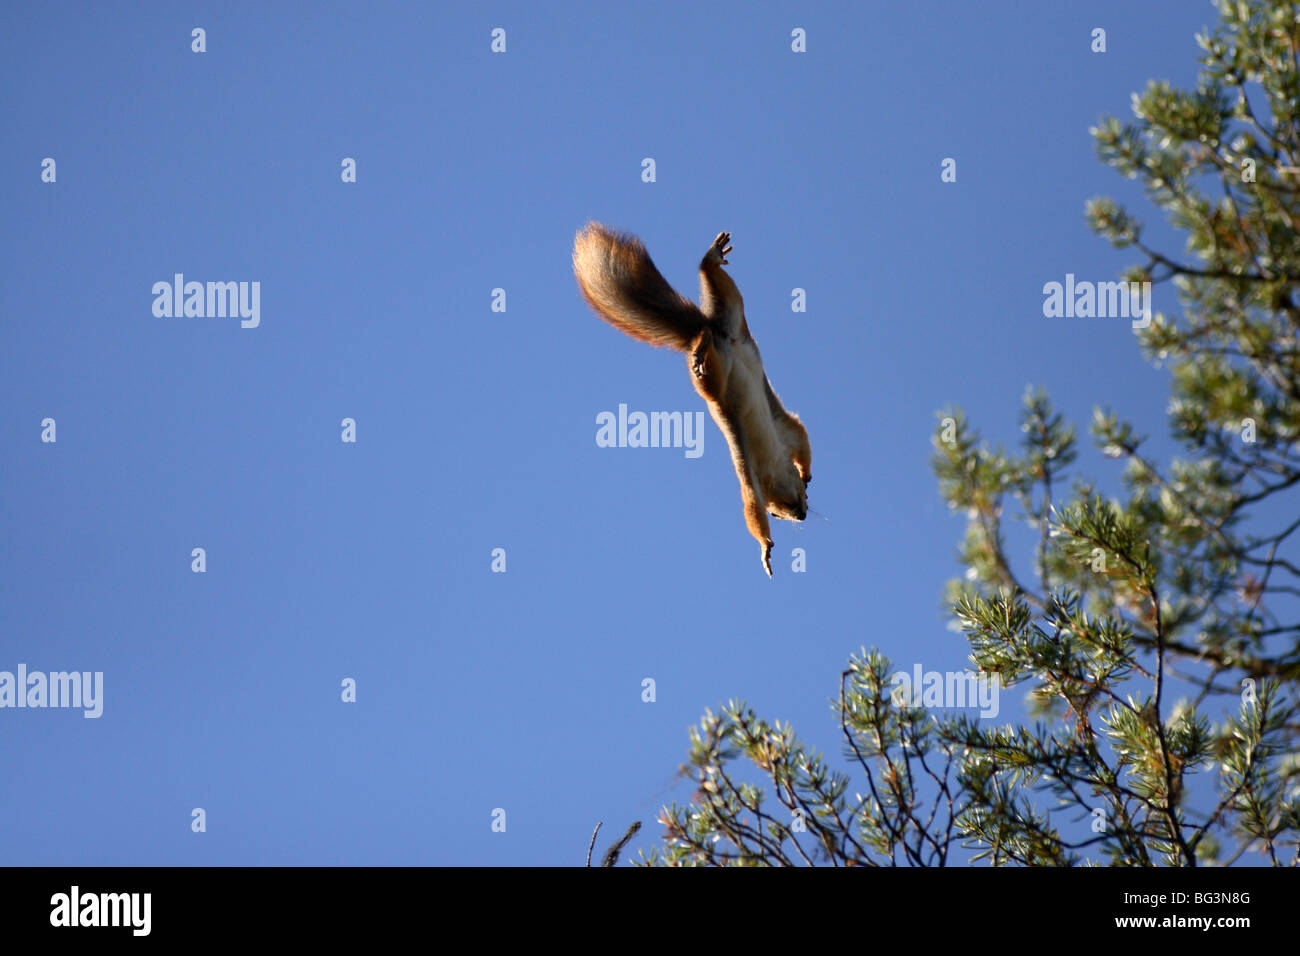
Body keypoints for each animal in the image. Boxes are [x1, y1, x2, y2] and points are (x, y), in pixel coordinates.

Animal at [573, 222, 812, 576]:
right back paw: (700, 340)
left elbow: (799, 432)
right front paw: (765, 548)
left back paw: (710, 269)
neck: (771, 456)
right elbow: (751, 502)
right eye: (779, 509)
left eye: (794, 503)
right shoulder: (751, 469)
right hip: (717, 368)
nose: (803, 514)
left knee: (717, 289)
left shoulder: (783, 430)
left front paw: (807, 473)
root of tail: (708, 328)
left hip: (734, 313)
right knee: (705, 344)